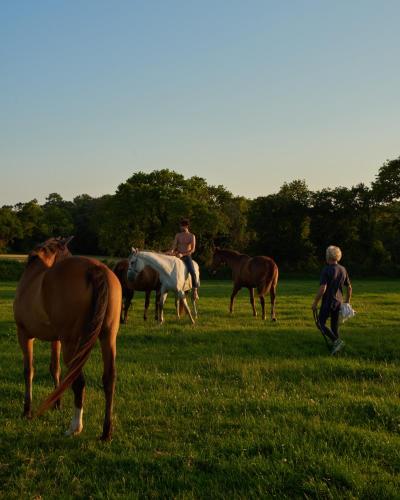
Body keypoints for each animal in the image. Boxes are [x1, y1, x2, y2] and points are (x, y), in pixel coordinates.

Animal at [13, 237, 122, 440]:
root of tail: (95, 268)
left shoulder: (24, 335)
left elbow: (28, 371)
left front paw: (27, 410)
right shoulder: (56, 340)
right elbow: (55, 369)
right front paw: (57, 403)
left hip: (71, 344)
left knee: (78, 381)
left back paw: (74, 427)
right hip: (107, 337)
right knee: (109, 378)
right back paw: (106, 432)